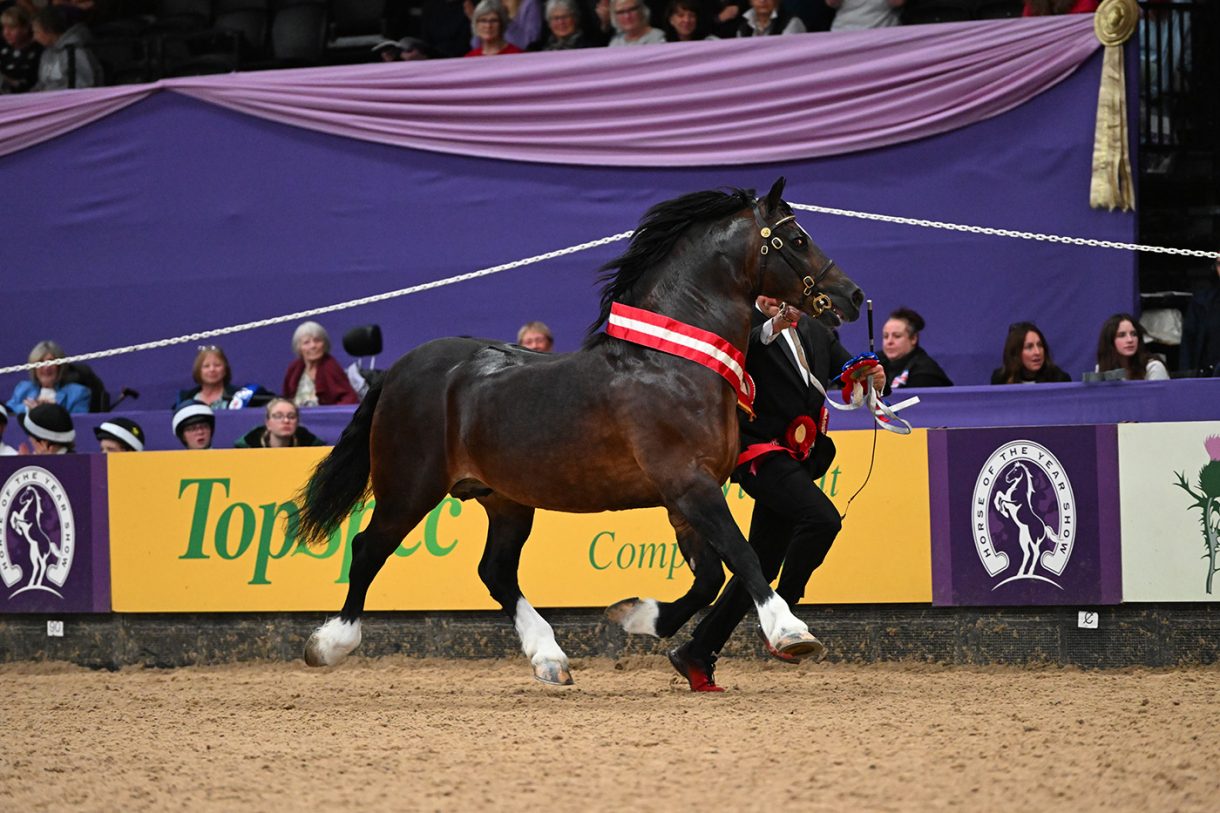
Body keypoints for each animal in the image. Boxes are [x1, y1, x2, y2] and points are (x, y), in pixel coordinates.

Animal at [294, 178, 865, 685]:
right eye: (797, 240)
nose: (853, 295)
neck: (669, 363)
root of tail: (398, 369)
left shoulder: (682, 498)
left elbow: (708, 579)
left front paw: (637, 617)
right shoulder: (689, 484)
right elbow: (743, 558)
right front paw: (791, 631)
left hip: (505, 499)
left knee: (495, 571)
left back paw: (549, 658)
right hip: (409, 487)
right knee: (368, 548)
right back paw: (330, 644)